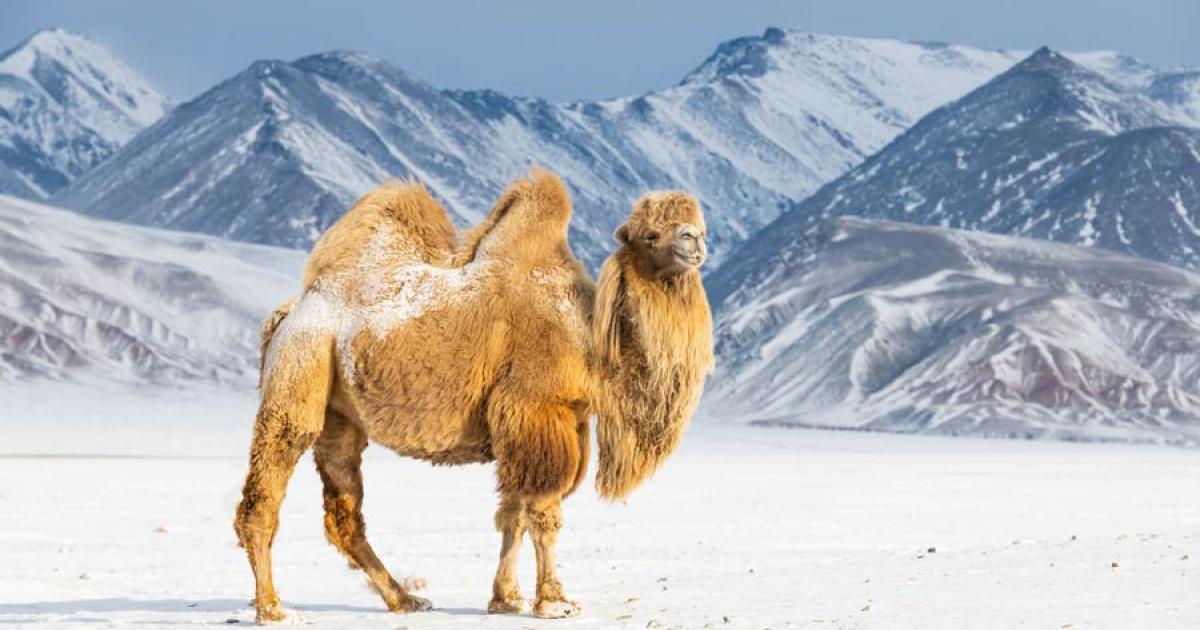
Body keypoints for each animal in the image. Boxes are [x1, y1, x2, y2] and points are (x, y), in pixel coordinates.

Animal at [233, 169, 714, 622]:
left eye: (699, 227)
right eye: (650, 235)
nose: (692, 240)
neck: (589, 333)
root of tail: (290, 312)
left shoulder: (544, 424)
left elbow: (513, 513)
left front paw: (506, 599)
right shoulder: (536, 410)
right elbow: (544, 512)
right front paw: (555, 601)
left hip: (341, 413)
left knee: (342, 509)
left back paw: (404, 598)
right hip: (300, 365)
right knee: (266, 492)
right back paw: (274, 609)